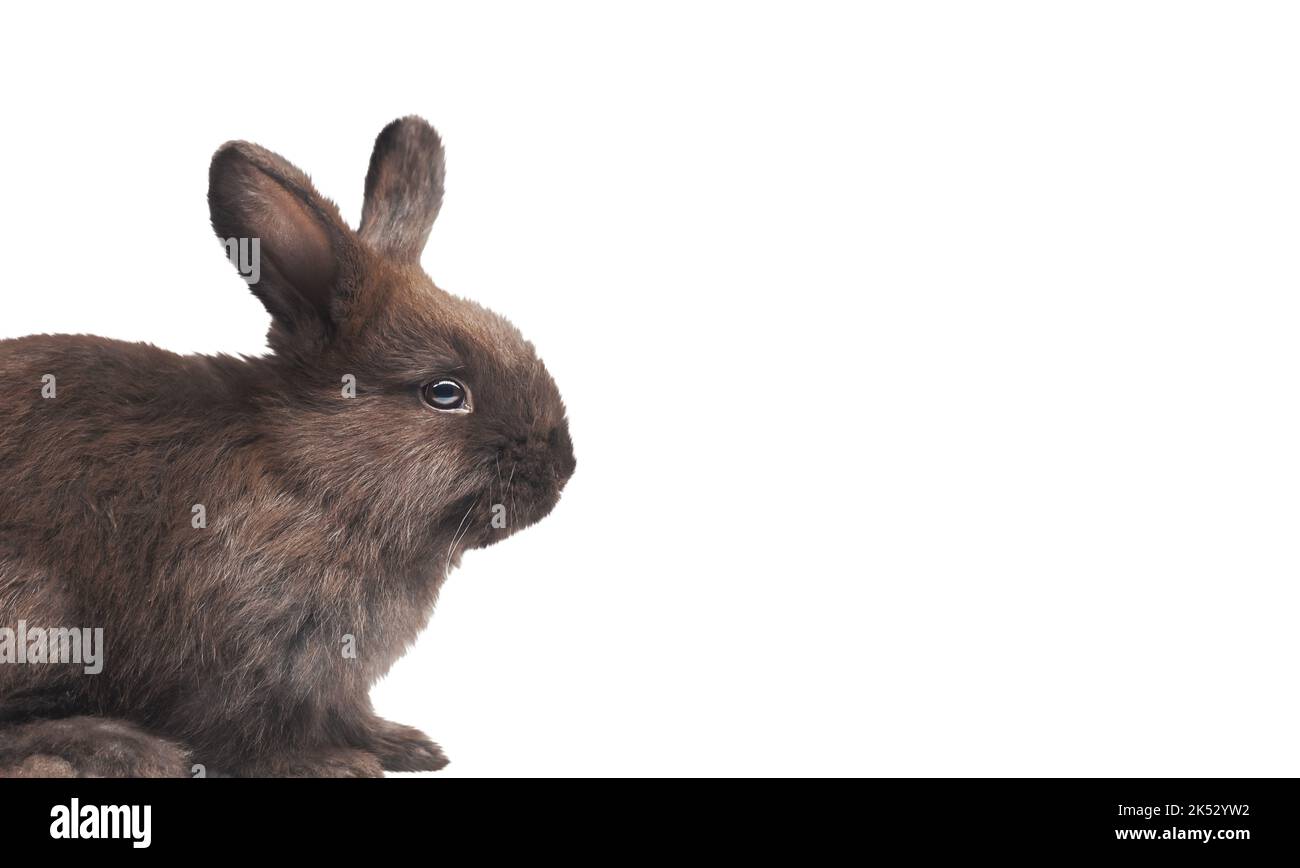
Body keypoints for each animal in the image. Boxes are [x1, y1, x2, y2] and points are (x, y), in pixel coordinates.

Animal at [0, 116, 575, 777]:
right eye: (445, 392)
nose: (563, 467)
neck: (311, 480)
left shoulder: (335, 676)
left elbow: (348, 710)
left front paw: (406, 745)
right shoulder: (233, 658)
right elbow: (251, 737)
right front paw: (333, 765)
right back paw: (117, 746)